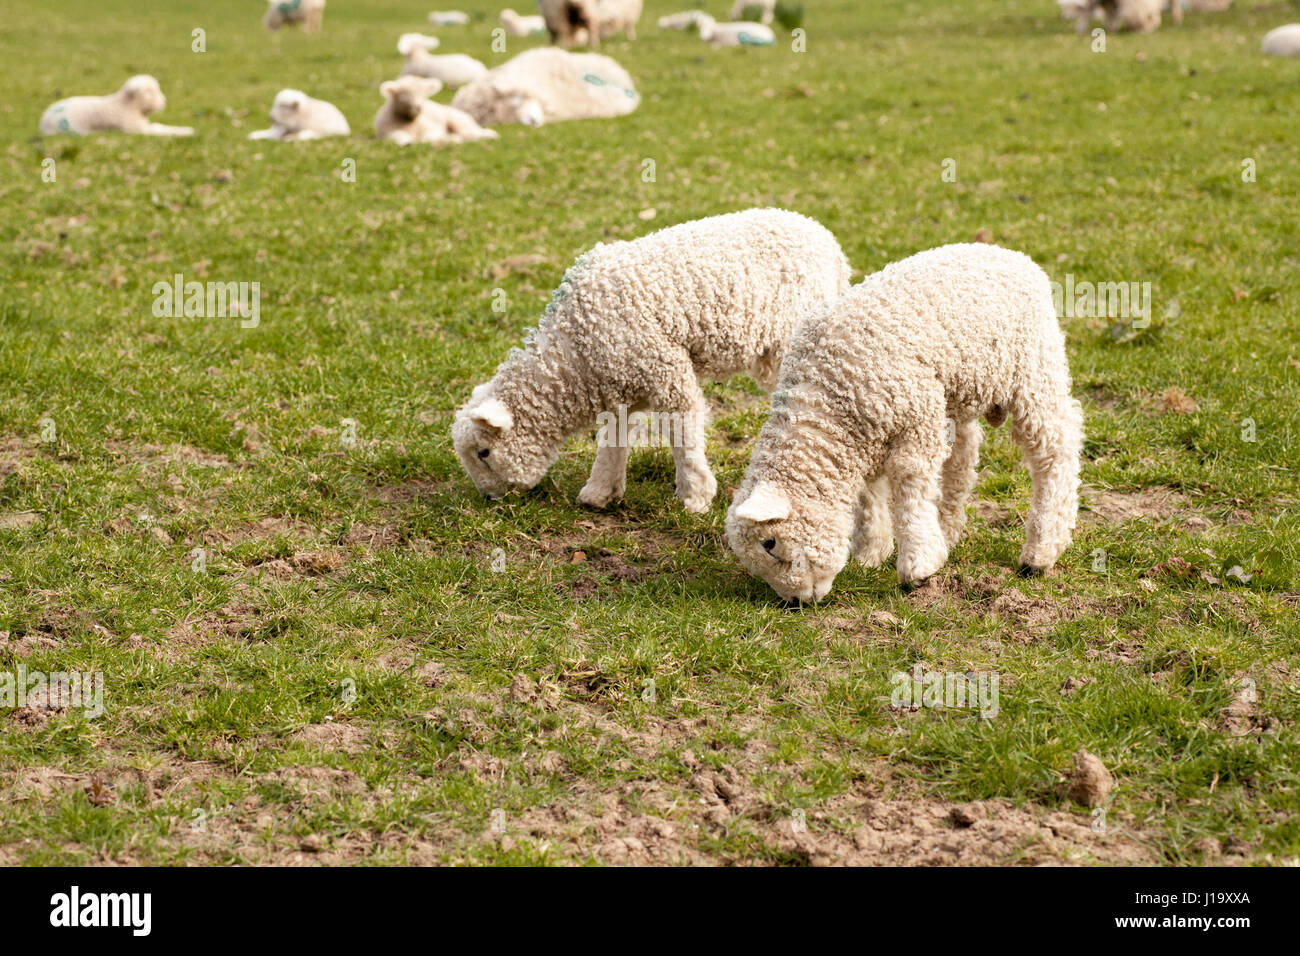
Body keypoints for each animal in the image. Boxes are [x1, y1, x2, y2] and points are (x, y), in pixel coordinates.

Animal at [39, 75, 193, 137]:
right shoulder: (136, 129)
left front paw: (187, 129)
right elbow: (161, 130)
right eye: (150, 92)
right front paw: (186, 132)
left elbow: (161, 126)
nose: (164, 101)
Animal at [452, 209, 852, 513]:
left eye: (484, 452)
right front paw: (600, 493)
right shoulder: (620, 384)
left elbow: (683, 436)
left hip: (790, 337)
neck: (574, 353)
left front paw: (695, 497)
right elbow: (613, 441)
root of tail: (828, 241)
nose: (490, 499)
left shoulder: (666, 370)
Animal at [726, 243, 1083, 603]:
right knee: (963, 457)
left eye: (770, 544)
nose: (799, 603)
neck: (827, 398)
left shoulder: (916, 418)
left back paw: (1042, 550)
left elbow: (909, 478)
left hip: (1034, 371)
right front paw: (871, 552)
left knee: (1055, 450)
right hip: (957, 391)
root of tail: (1009, 253)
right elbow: (870, 492)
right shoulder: (868, 435)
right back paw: (947, 530)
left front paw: (918, 565)